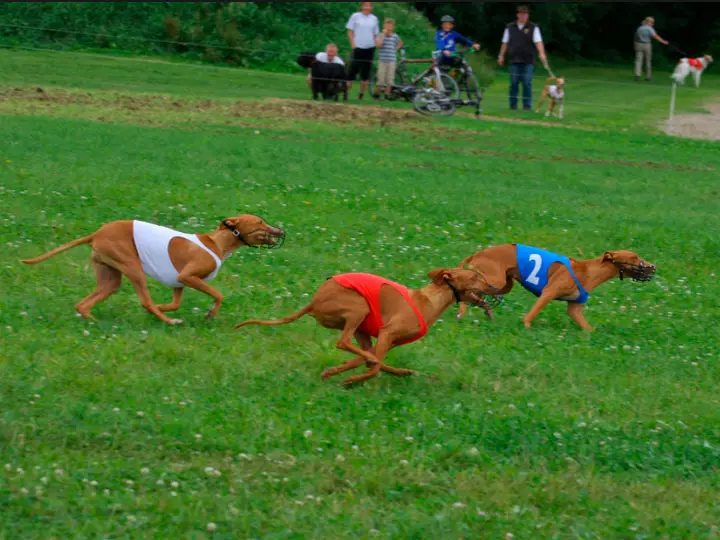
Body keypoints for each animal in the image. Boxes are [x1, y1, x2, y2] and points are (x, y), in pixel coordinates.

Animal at [19, 215, 284, 324]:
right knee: (145, 300)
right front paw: (210, 314)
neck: (215, 244)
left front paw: (164, 307)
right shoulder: (188, 276)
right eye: (260, 221)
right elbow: (218, 294)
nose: (281, 230)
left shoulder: (179, 282)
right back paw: (169, 322)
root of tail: (97, 233)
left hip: (110, 278)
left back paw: (94, 321)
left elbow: (175, 303)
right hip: (133, 267)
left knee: (83, 304)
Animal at [235, 268, 500, 386]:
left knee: (361, 352)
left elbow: (363, 361)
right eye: (475, 277)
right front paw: (352, 380)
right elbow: (372, 366)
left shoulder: (386, 340)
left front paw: (333, 372)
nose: (496, 287)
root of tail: (314, 301)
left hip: (362, 328)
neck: (427, 301)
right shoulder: (387, 333)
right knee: (345, 343)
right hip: (358, 308)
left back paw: (398, 371)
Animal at [458, 244, 656, 330]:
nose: (653, 267)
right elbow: (530, 316)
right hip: (494, 280)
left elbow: (587, 328)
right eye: (635, 257)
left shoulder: (575, 309)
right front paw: (527, 327)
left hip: (504, 283)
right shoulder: (548, 293)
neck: (588, 271)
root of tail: (478, 253)